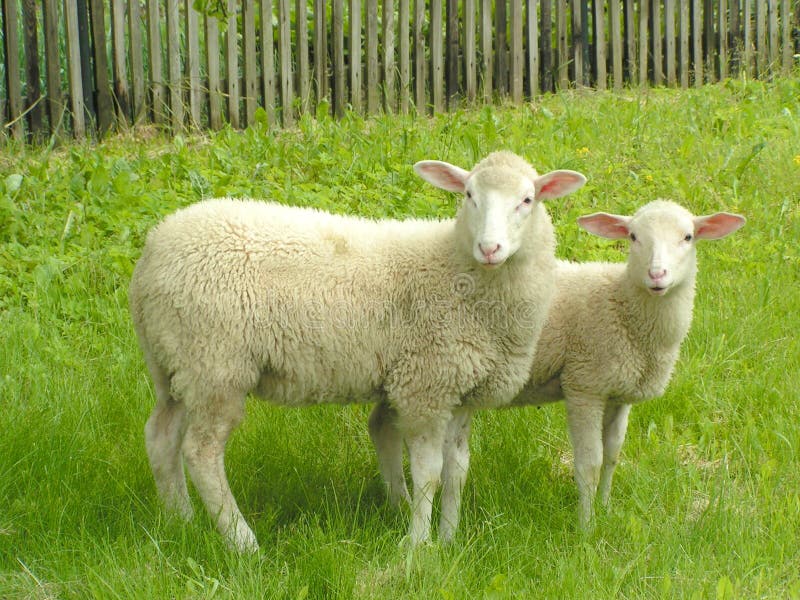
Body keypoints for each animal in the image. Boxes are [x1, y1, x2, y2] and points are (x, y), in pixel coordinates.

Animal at [128, 151, 587, 552]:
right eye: (469, 194)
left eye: (527, 200)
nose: (489, 248)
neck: (455, 269)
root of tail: (154, 247)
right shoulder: (425, 384)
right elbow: (428, 474)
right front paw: (418, 545)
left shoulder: (461, 390)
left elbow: (457, 472)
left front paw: (449, 538)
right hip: (215, 365)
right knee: (201, 452)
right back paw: (242, 542)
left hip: (173, 363)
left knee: (161, 436)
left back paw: (180, 522)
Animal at [369, 199, 745, 531]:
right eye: (634, 236)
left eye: (688, 237)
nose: (657, 274)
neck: (623, 305)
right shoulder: (585, 384)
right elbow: (590, 463)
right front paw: (586, 527)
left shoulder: (618, 393)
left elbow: (613, 454)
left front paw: (605, 508)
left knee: (382, 428)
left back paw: (398, 505)